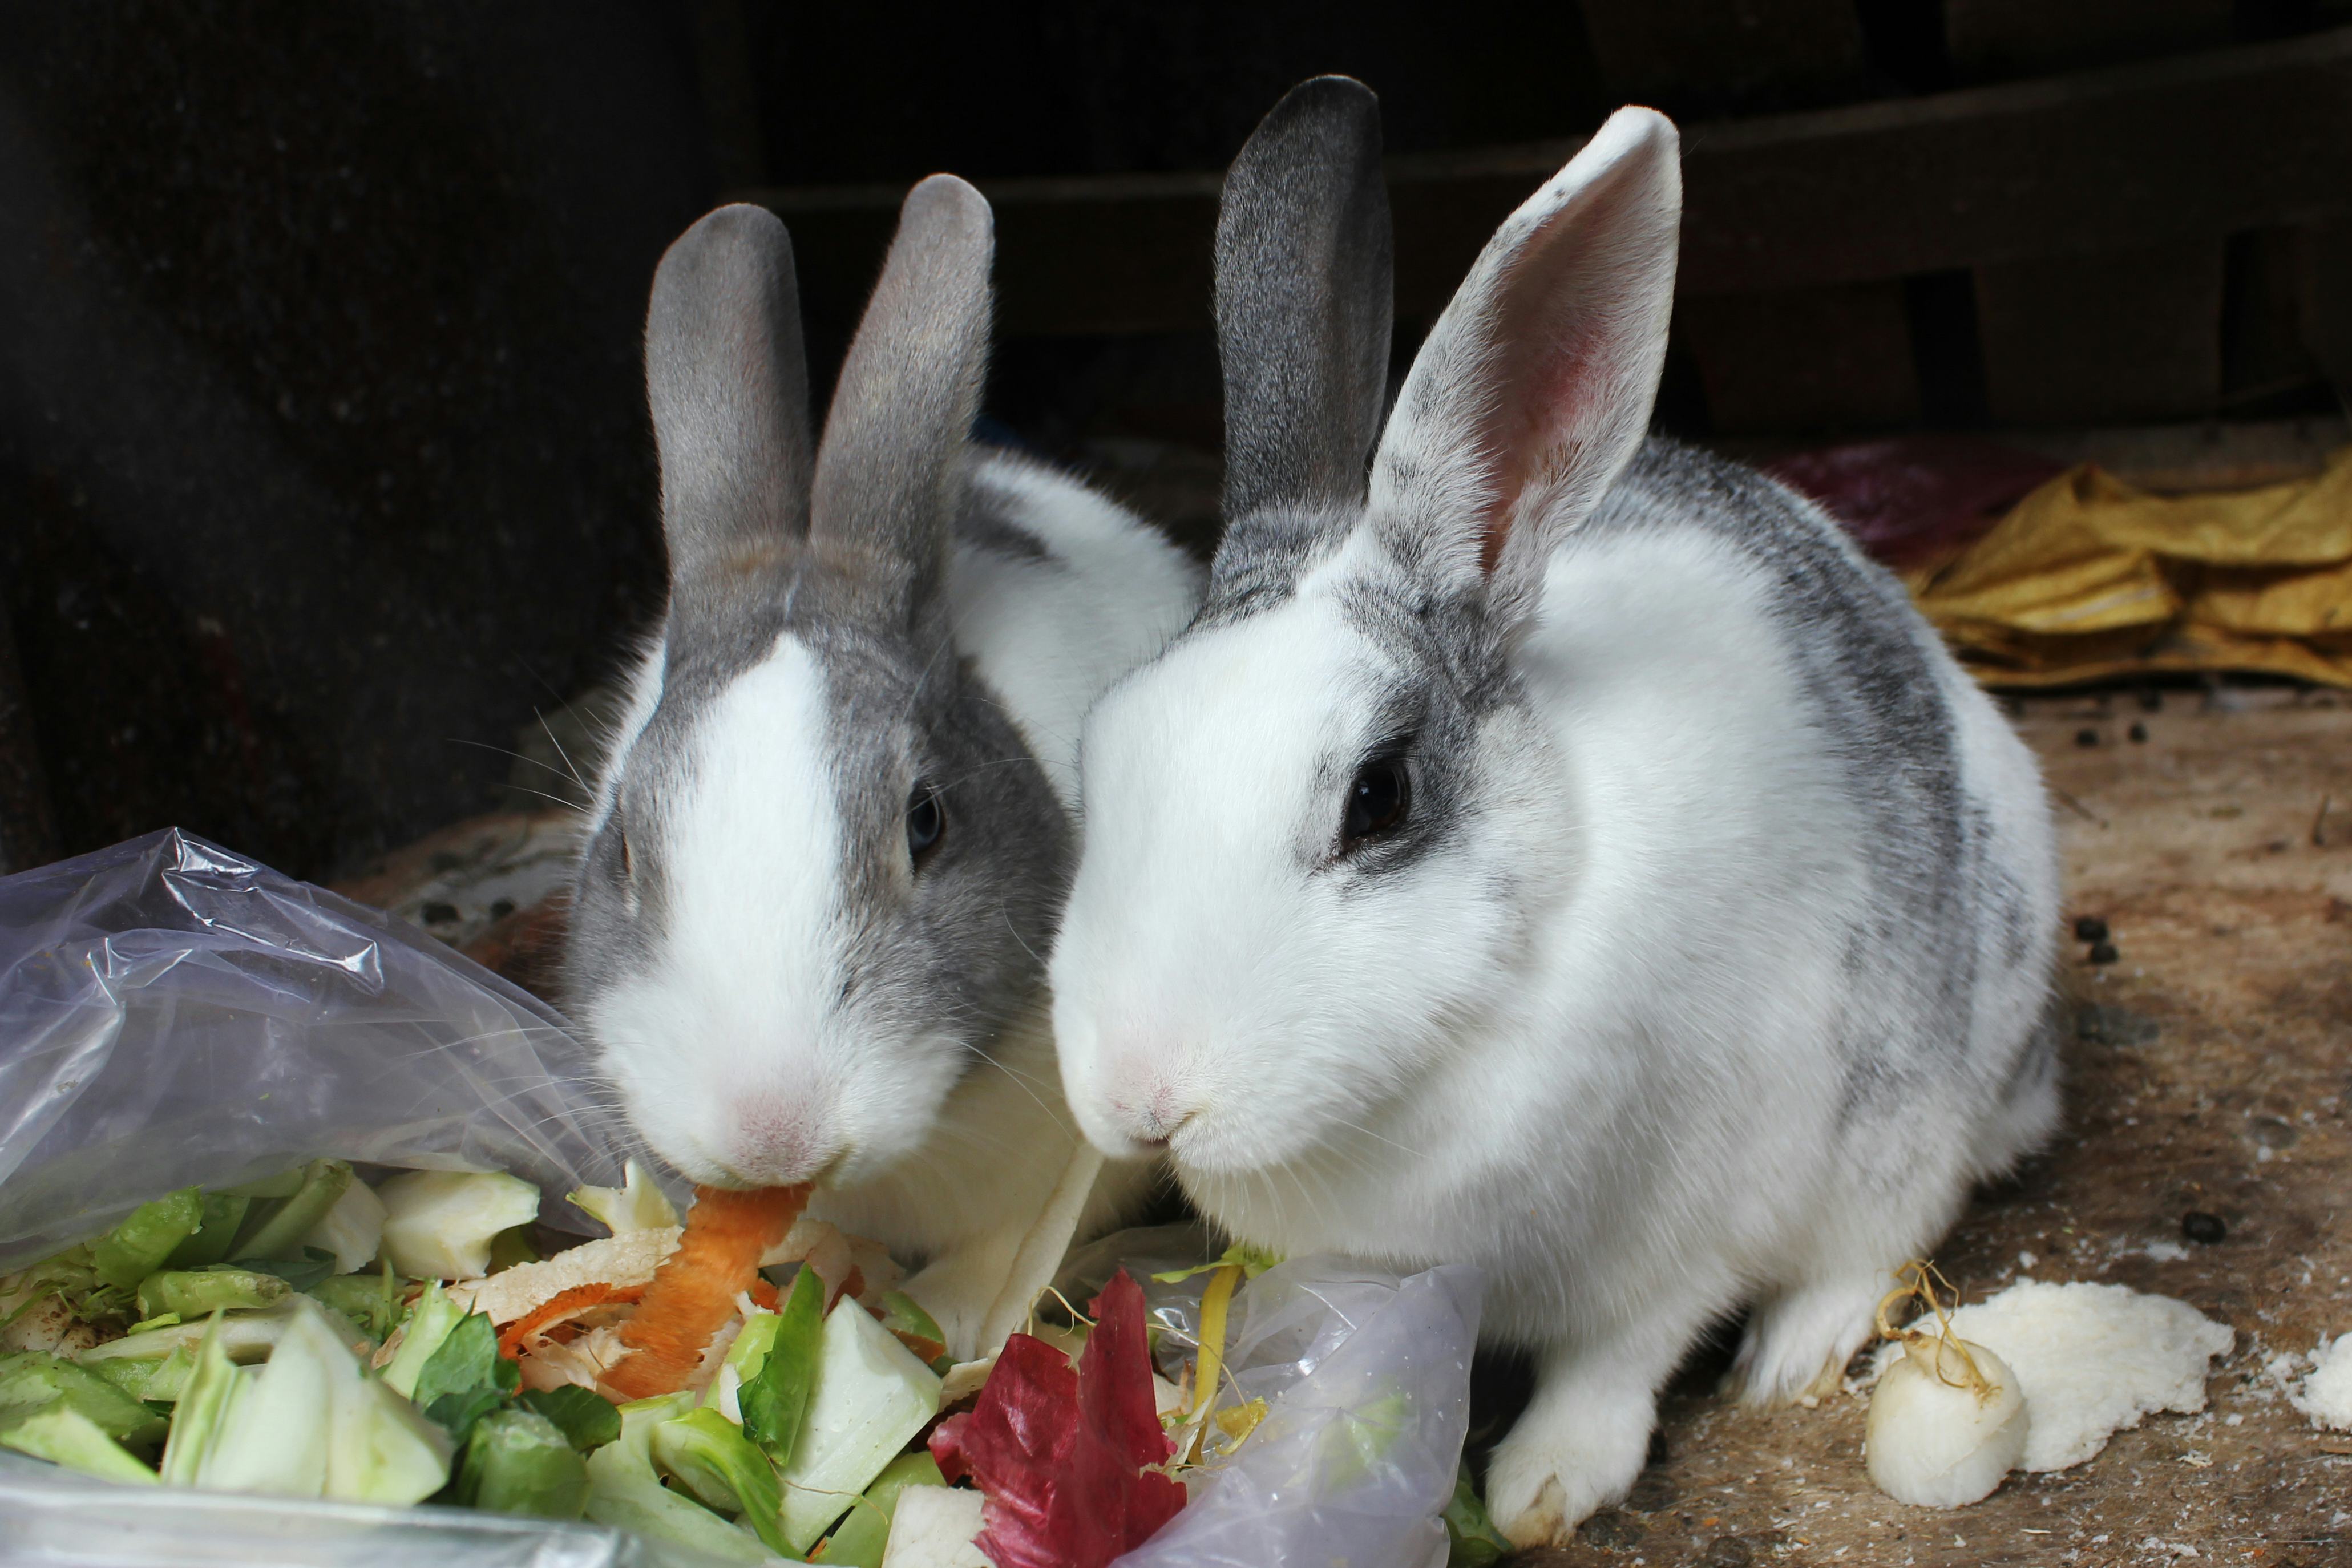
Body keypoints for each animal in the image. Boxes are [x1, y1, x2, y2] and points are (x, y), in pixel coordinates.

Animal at [1047, 78, 2061, 1544]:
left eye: (1378, 795)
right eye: (1102, 760)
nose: (1143, 1100)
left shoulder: (1683, 1223)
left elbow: (1620, 1356)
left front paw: (1542, 1482)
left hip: (1914, 1110)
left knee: (1885, 1234)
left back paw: (1794, 1352)